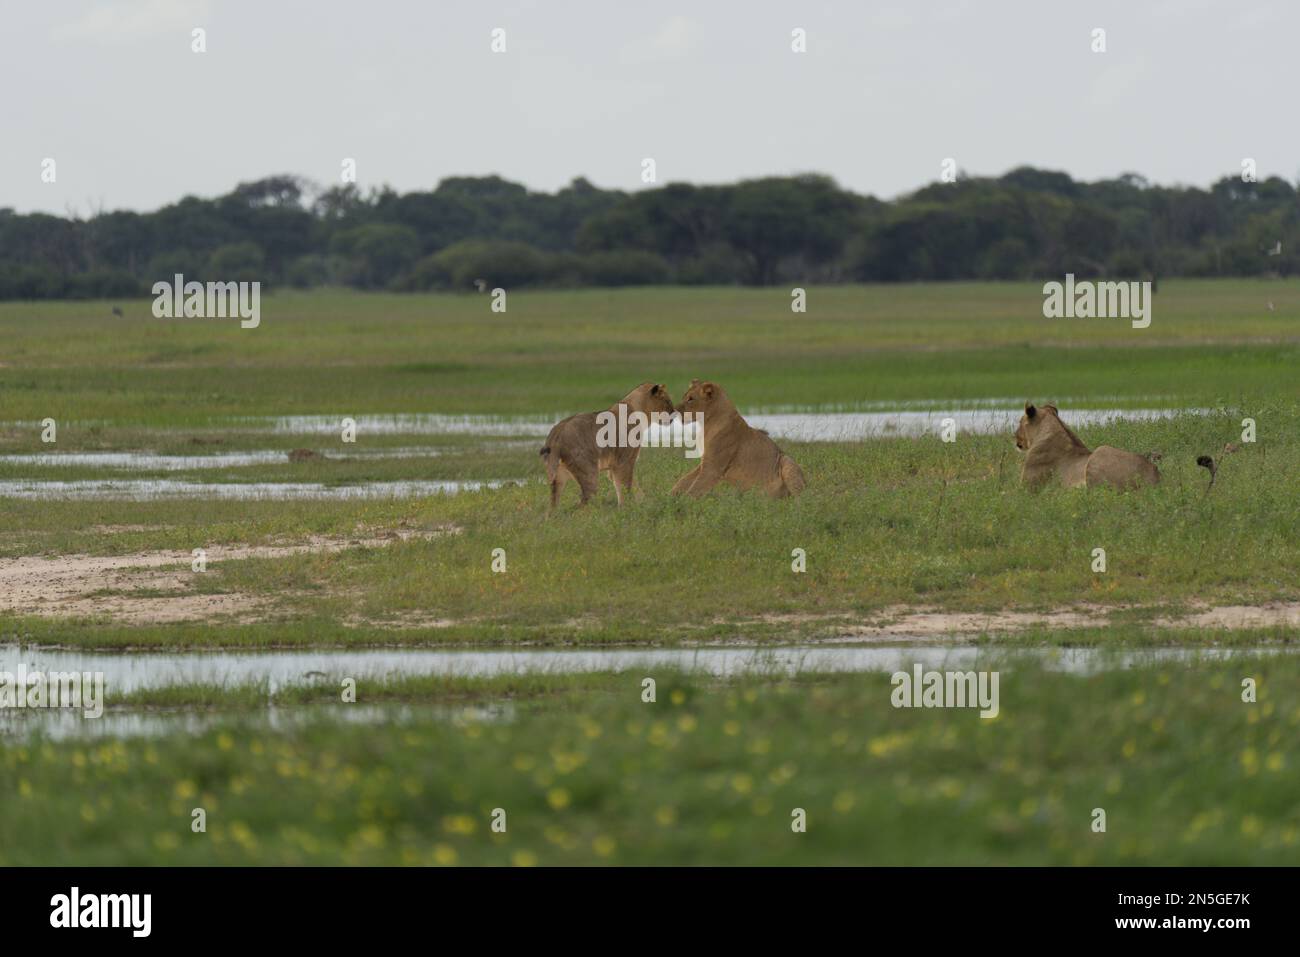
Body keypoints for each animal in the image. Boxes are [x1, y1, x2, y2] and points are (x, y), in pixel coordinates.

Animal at [539, 382, 675, 508]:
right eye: (668, 401)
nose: (674, 414)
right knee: (582, 503)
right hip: (589, 474)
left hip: (558, 475)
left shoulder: (615, 465)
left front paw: (642, 503)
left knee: (553, 507)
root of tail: (557, 431)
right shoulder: (624, 461)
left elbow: (629, 485)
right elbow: (626, 485)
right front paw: (628, 509)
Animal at [670, 379, 805, 498]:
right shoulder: (704, 463)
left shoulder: (713, 468)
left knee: (801, 497)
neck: (705, 425)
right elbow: (684, 481)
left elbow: (695, 488)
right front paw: (670, 496)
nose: (674, 411)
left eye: (691, 399)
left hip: (786, 461)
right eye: (684, 396)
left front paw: (683, 502)